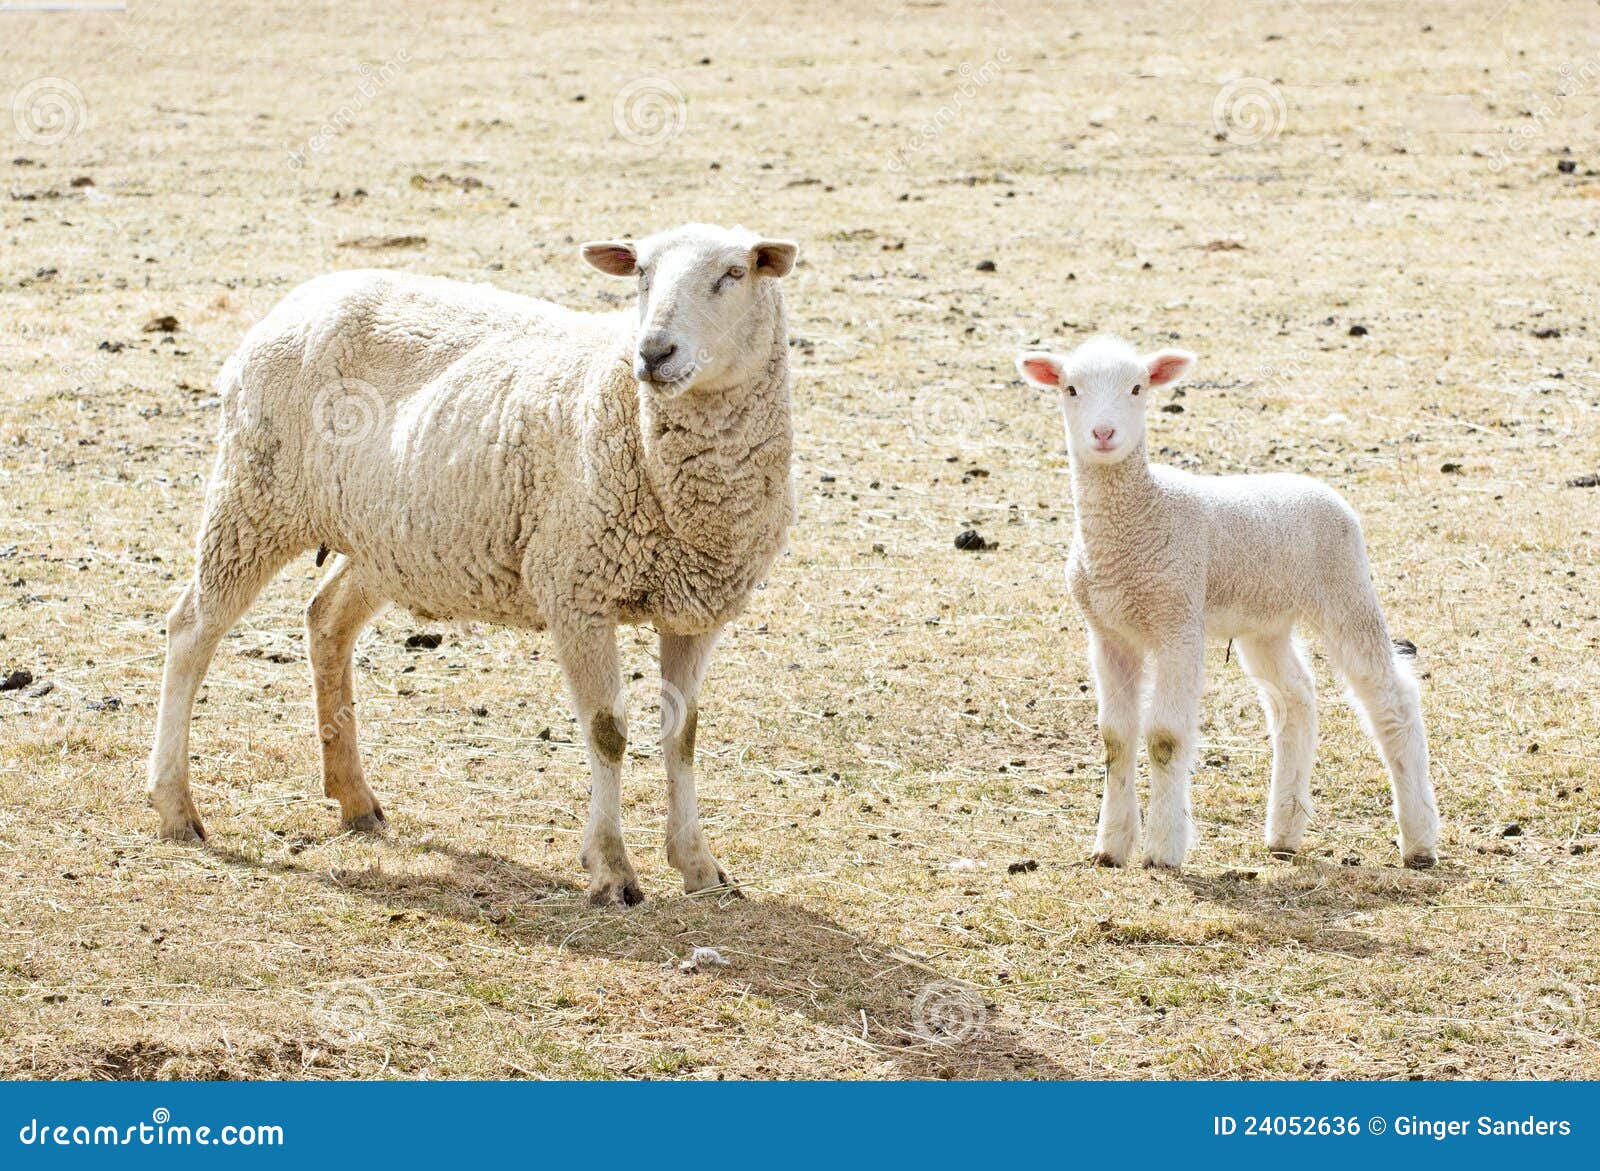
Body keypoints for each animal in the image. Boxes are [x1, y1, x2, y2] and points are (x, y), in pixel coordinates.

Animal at [147, 222, 800, 906]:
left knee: (326, 619)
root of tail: (302, 295)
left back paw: (354, 798)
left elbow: (684, 734)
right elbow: (607, 732)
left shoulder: (697, 611)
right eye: (641, 273)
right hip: (255, 495)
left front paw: (698, 864)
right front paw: (611, 867)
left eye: (734, 273)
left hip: (387, 540)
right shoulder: (576, 589)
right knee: (191, 628)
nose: (654, 353)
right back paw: (175, 805)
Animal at [1015, 335, 1440, 871]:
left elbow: (1165, 738)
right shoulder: (1108, 632)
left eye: (1137, 388)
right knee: (1294, 698)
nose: (1104, 432)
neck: (1137, 522)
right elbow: (1114, 737)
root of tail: (1317, 486)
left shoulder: (1178, 618)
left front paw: (1162, 850)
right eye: (1070, 389)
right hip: (1265, 620)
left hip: (1345, 588)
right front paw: (1110, 846)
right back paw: (1284, 832)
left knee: (1391, 698)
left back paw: (1419, 838)